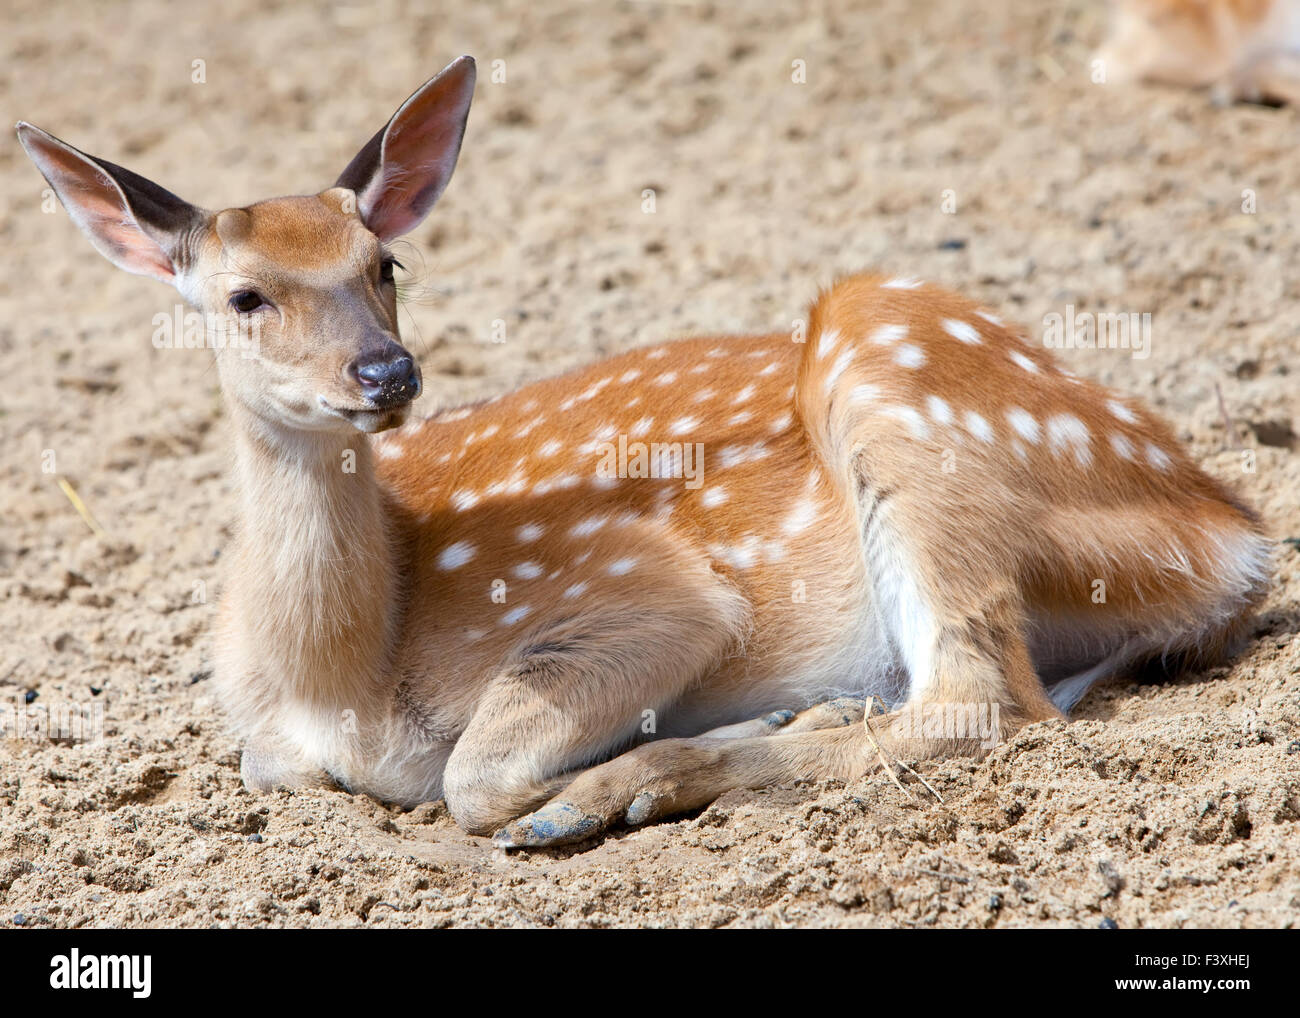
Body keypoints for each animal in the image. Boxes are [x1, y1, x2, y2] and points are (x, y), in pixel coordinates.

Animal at [16, 56, 1271, 848]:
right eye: (243, 297)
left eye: (385, 264)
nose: (386, 373)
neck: (342, 680)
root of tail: (1236, 537)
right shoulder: (261, 740)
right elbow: (271, 767)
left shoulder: (651, 591)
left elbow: (470, 775)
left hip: (894, 377)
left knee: (978, 700)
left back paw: (649, 776)